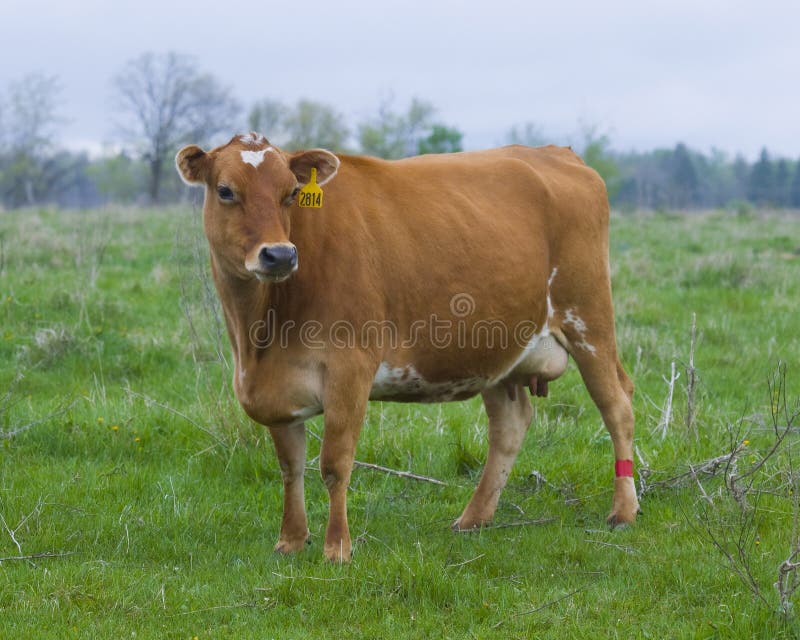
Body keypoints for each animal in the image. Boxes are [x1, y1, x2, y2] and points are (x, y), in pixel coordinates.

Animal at [175, 133, 639, 562]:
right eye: (225, 191)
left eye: (291, 193)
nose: (279, 255)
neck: (258, 336)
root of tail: (556, 152)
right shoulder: (276, 387)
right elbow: (290, 466)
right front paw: (290, 540)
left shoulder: (350, 367)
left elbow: (334, 463)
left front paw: (337, 547)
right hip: (498, 347)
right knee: (510, 424)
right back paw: (474, 517)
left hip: (589, 318)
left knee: (616, 406)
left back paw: (623, 510)